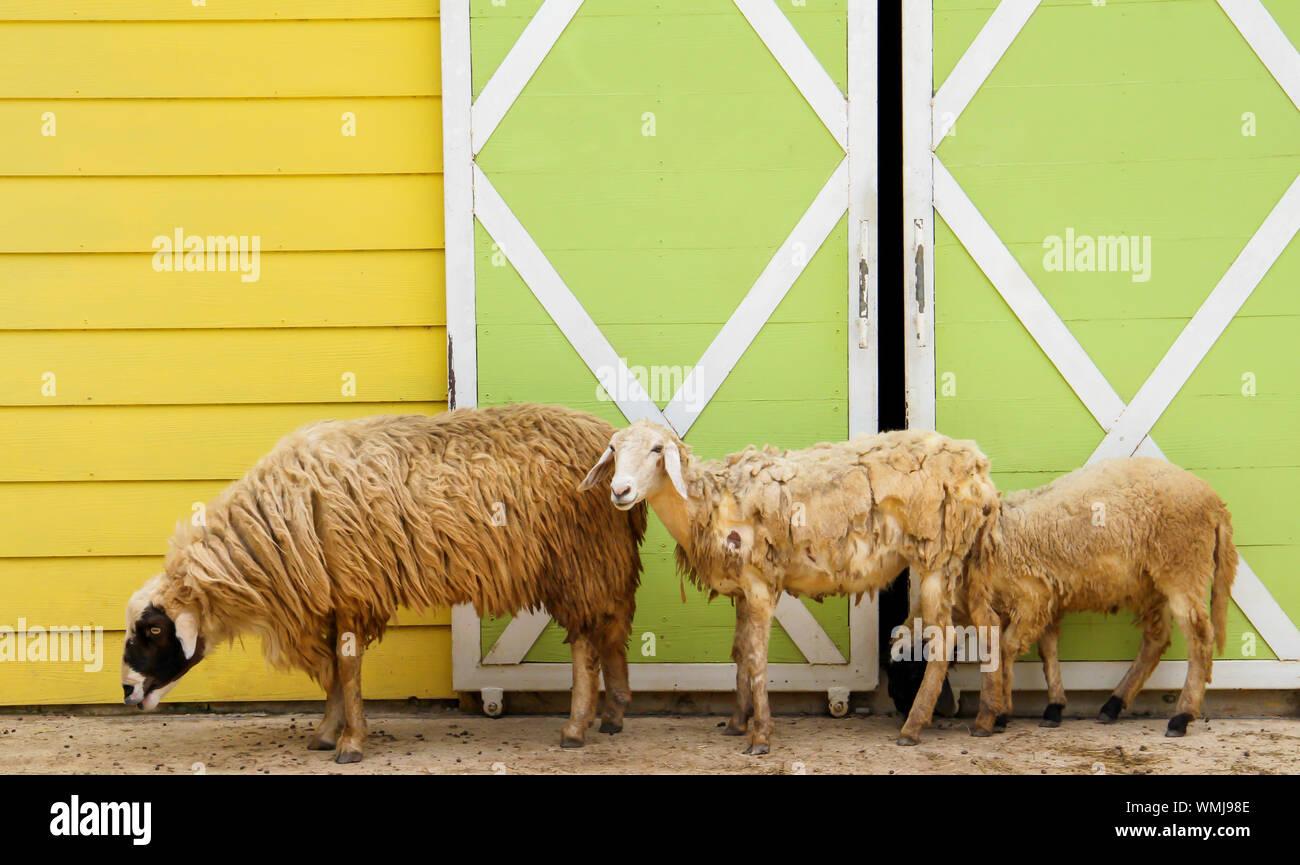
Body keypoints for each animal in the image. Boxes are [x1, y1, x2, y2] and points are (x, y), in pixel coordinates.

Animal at [121, 403, 647, 762]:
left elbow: (347, 666)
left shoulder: (353, 586)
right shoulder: (332, 596)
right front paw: (327, 731)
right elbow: (333, 669)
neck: (271, 528)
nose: (126, 691)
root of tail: (602, 436)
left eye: (153, 629)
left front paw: (350, 742)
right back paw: (615, 715)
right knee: (614, 629)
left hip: (579, 559)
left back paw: (576, 728)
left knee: (586, 641)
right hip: (606, 559)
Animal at [581, 421, 999, 752]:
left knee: (943, 639)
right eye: (614, 449)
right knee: (988, 625)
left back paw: (913, 727)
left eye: (656, 449)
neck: (711, 504)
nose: (620, 491)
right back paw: (986, 718)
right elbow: (739, 653)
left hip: (938, 554)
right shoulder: (742, 588)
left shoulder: (759, 582)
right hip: (964, 557)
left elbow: (756, 657)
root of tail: (979, 468)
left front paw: (760, 736)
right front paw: (737, 722)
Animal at [962, 457, 1237, 739]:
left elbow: (1006, 649)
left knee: (1200, 636)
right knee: (1157, 638)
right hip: (1151, 583)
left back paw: (1181, 716)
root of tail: (1214, 502)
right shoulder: (1047, 599)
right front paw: (1054, 707)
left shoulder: (1032, 597)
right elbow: (1047, 649)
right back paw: (1114, 704)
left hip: (1183, 566)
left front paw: (1000, 713)